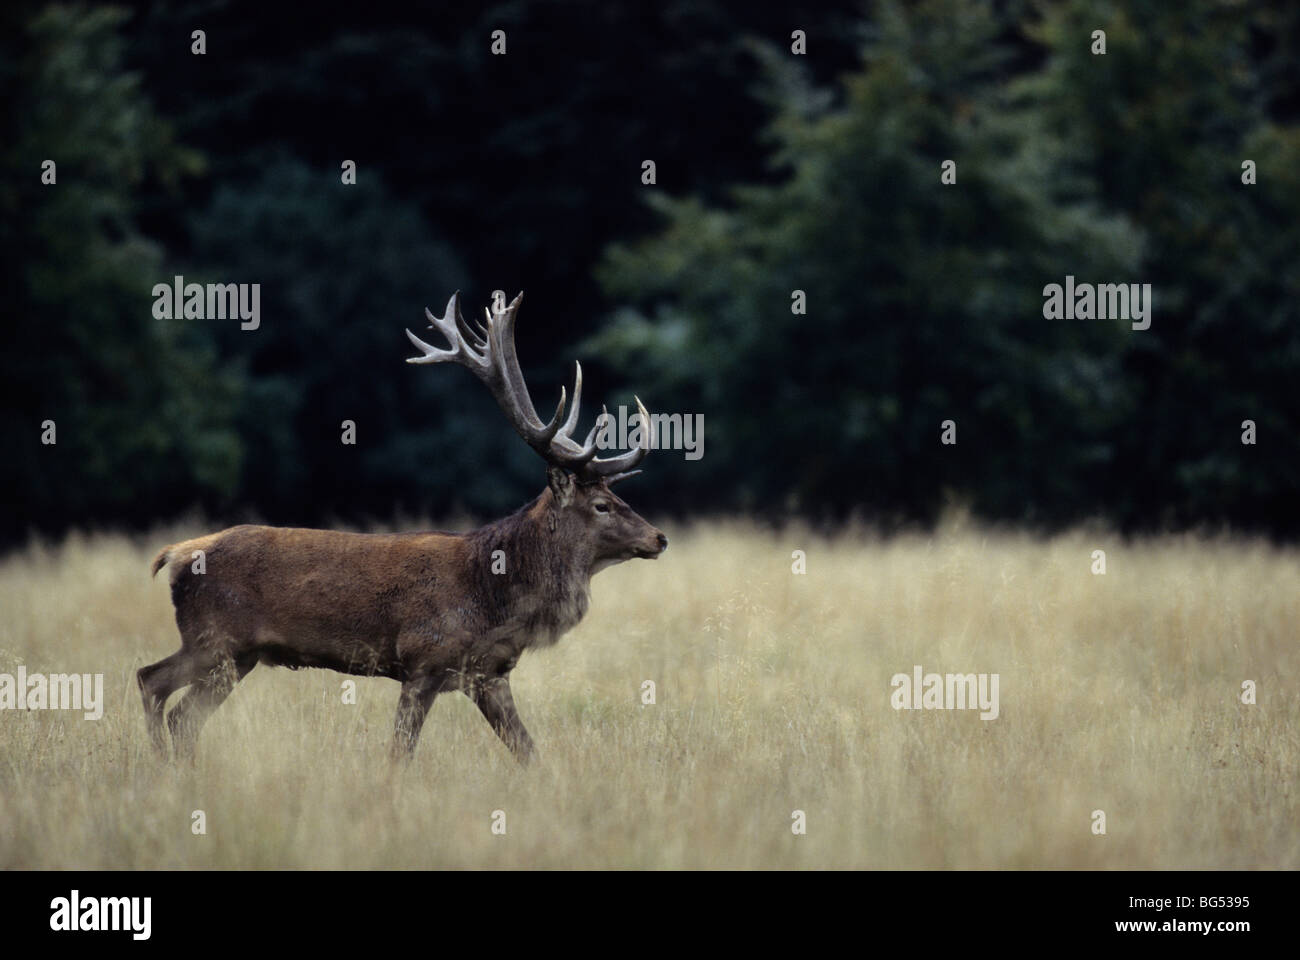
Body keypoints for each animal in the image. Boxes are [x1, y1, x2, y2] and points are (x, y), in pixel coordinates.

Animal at [139, 290, 667, 765]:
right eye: (602, 505)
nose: (658, 537)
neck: (495, 596)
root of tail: (177, 554)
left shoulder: (489, 674)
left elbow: (528, 751)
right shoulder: (423, 661)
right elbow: (400, 753)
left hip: (234, 652)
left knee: (169, 701)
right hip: (215, 640)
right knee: (157, 688)